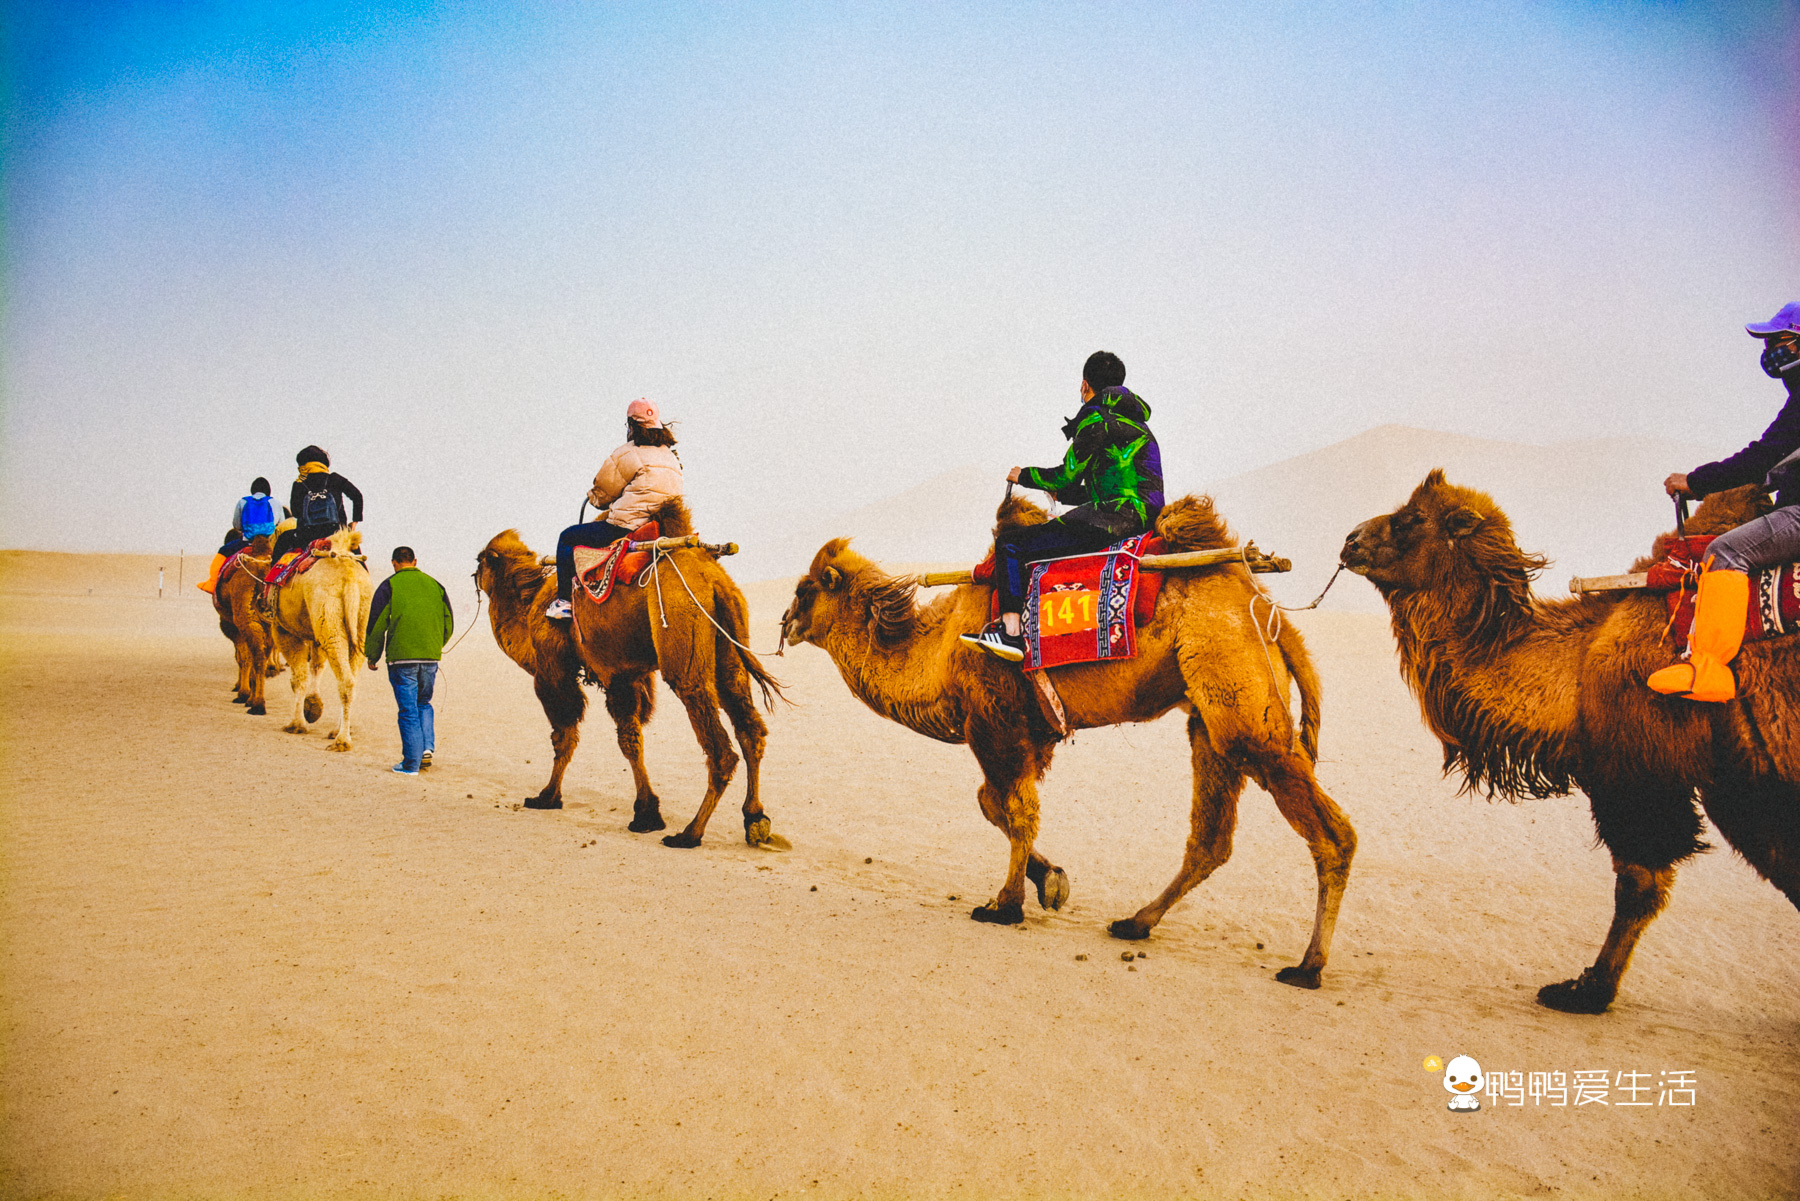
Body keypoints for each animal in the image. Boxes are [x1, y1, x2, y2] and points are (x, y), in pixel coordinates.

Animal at [211, 533, 282, 714]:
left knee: (257, 656)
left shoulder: (231, 626)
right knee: (262, 655)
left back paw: (255, 703)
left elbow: (241, 657)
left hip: (245, 617)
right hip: (268, 623)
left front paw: (242, 691)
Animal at [267, 528, 372, 751]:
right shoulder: (315, 634)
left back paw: (342, 740)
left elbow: (298, 678)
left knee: (345, 680)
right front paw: (313, 706)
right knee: (351, 675)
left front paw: (297, 724)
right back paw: (337, 731)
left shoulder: (284, 631)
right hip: (360, 623)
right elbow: (316, 665)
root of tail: (350, 579)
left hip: (328, 618)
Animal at [474, 500, 781, 846]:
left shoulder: (566, 672)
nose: (473, 574)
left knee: (718, 744)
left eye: (480, 559)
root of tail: (716, 582)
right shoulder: (631, 674)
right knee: (749, 728)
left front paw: (549, 797)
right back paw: (755, 818)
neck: (528, 612)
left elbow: (575, 736)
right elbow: (630, 738)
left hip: (682, 642)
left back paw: (690, 833)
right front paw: (647, 810)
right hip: (729, 651)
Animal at [780, 494, 1358, 988]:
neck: (938, 650)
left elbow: (1015, 810)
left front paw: (1005, 904)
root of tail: (1269, 612)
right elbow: (993, 805)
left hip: (1239, 698)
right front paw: (1051, 881)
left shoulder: (994, 720)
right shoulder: (1033, 732)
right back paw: (1135, 922)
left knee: (1332, 833)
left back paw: (1307, 966)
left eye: (806, 590)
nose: (785, 624)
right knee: (1211, 839)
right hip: (1210, 717)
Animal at [1341, 471, 1800, 1013]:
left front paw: (1587, 991)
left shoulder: (1643, 772)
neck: (1578, 663)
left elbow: (1639, 882)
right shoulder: (1739, 780)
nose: (1350, 541)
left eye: (1411, 519)